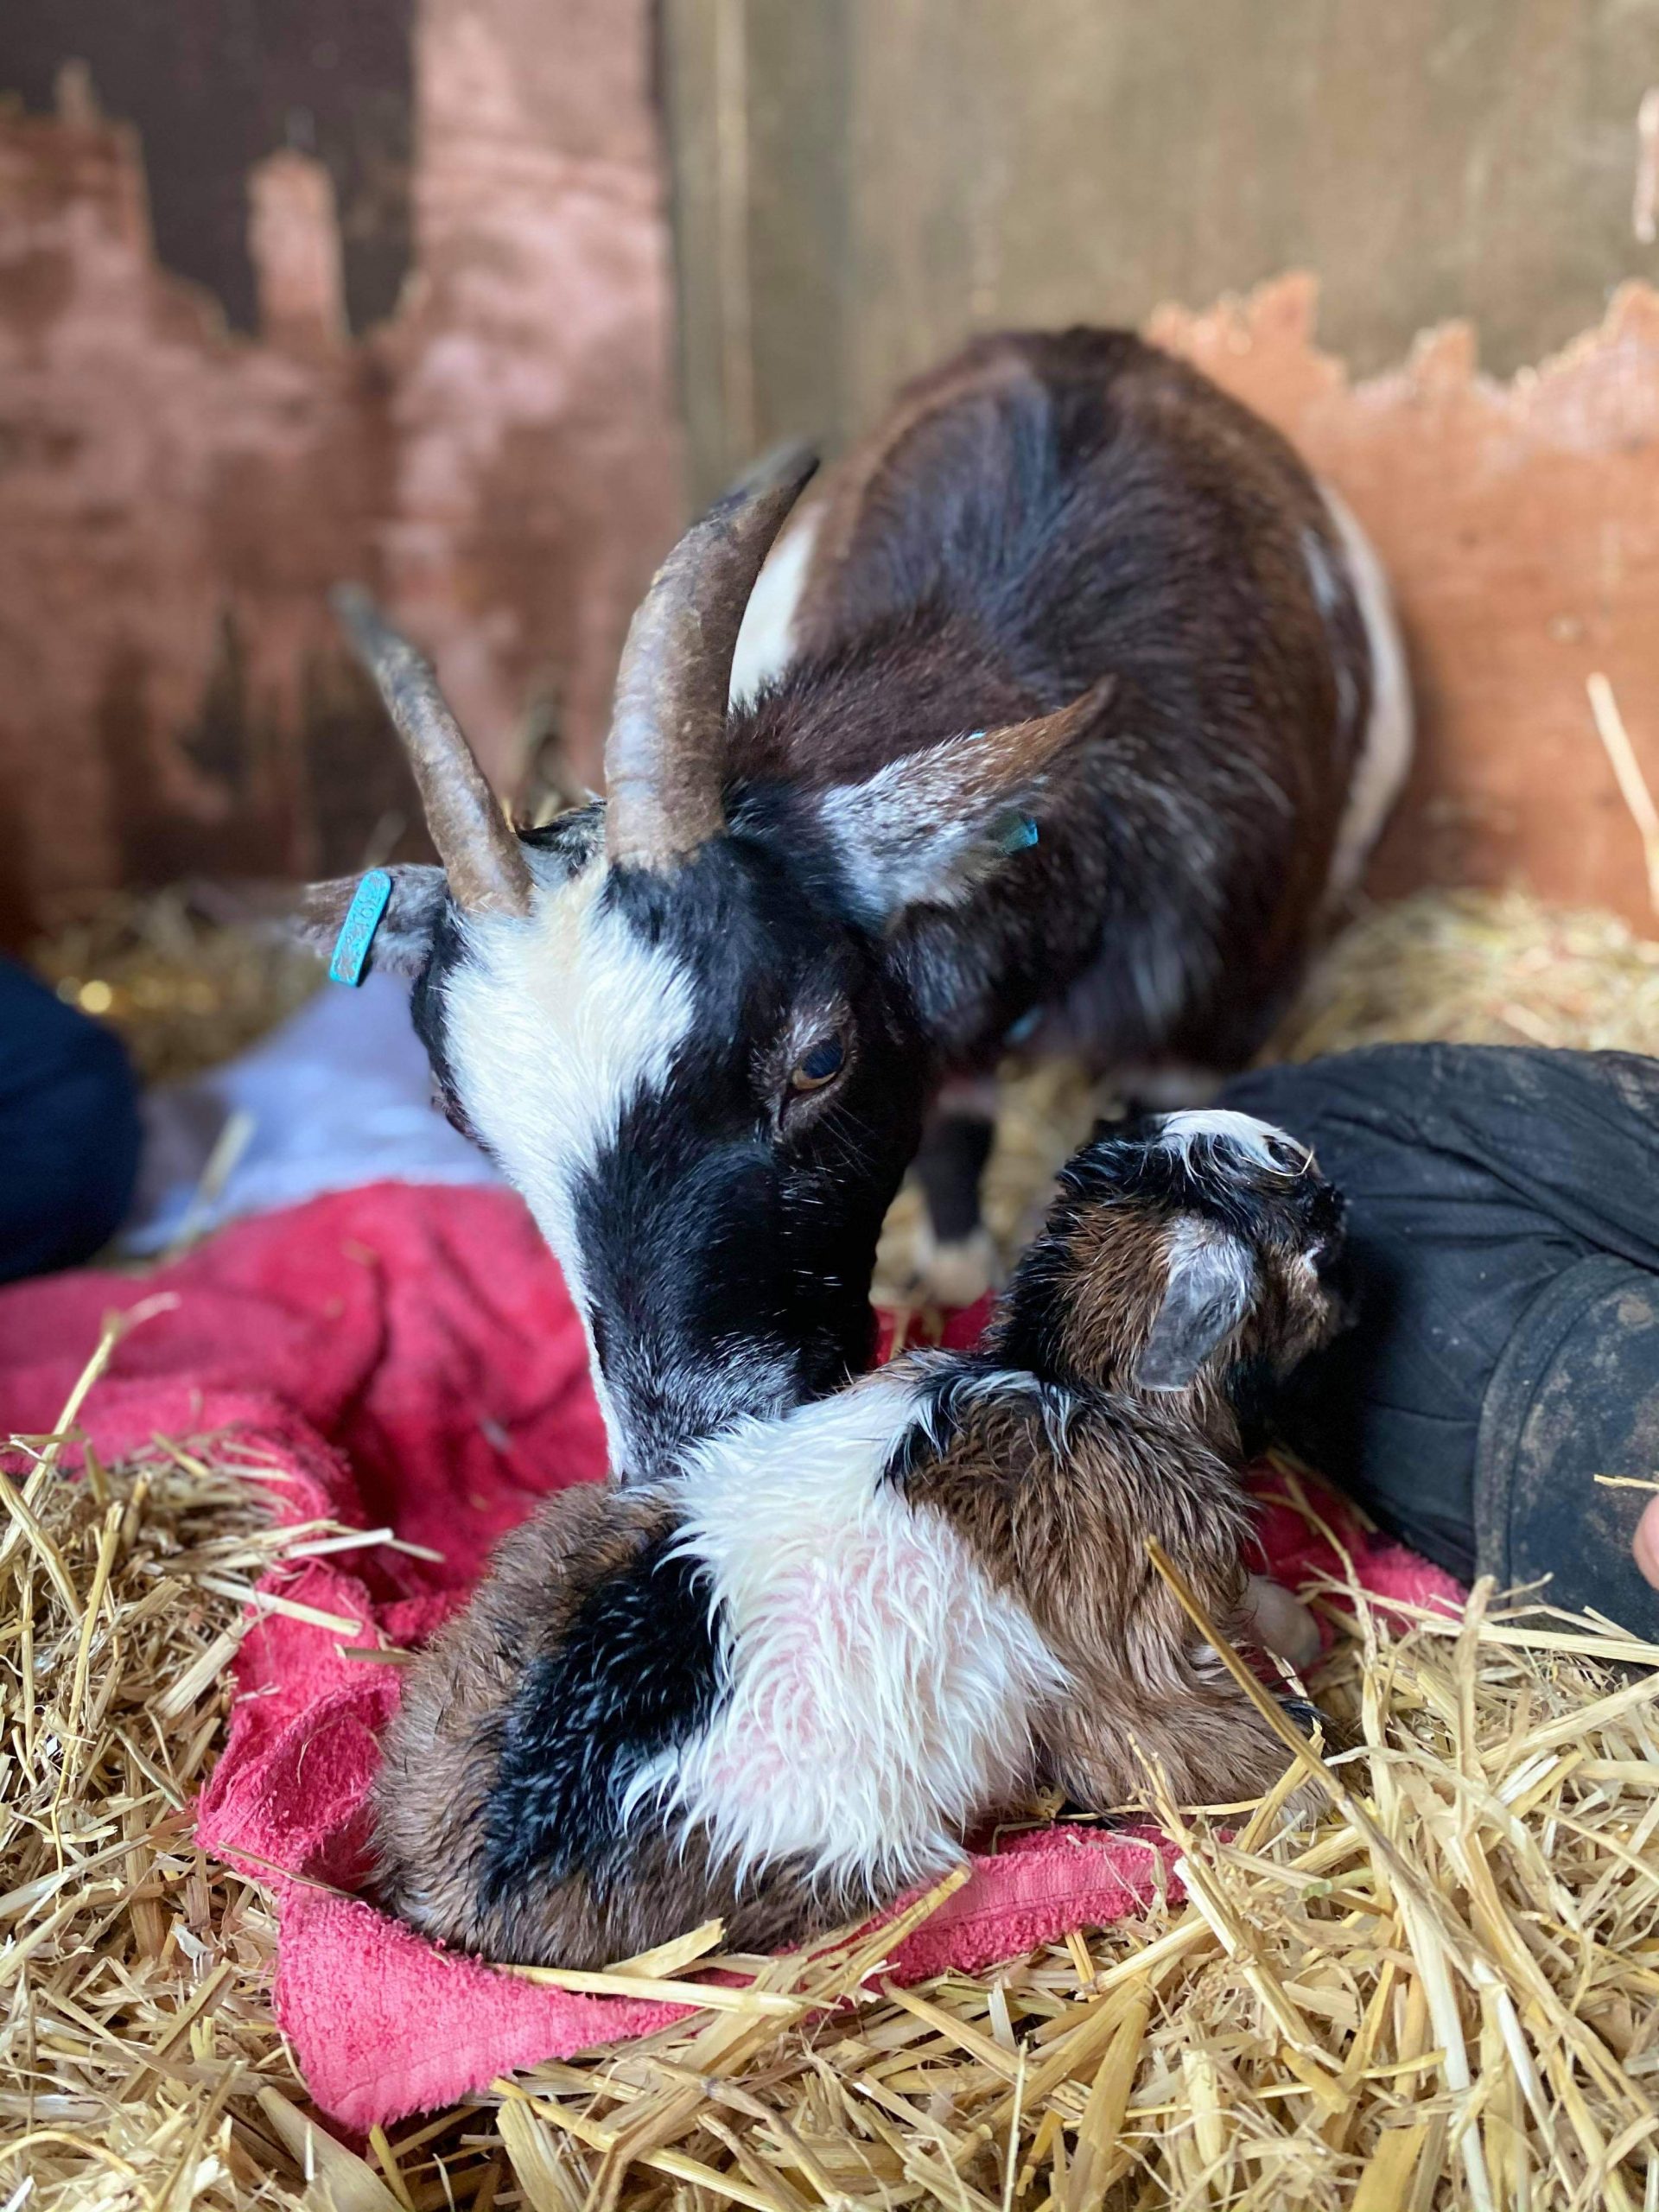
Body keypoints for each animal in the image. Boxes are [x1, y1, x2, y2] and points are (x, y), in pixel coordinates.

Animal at [300, 327, 1406, 1482]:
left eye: (819, 1058)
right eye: (455, 1114)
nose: (684, 1455)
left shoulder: (1209, 1020)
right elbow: (956, 1136)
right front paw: (956, 1276)